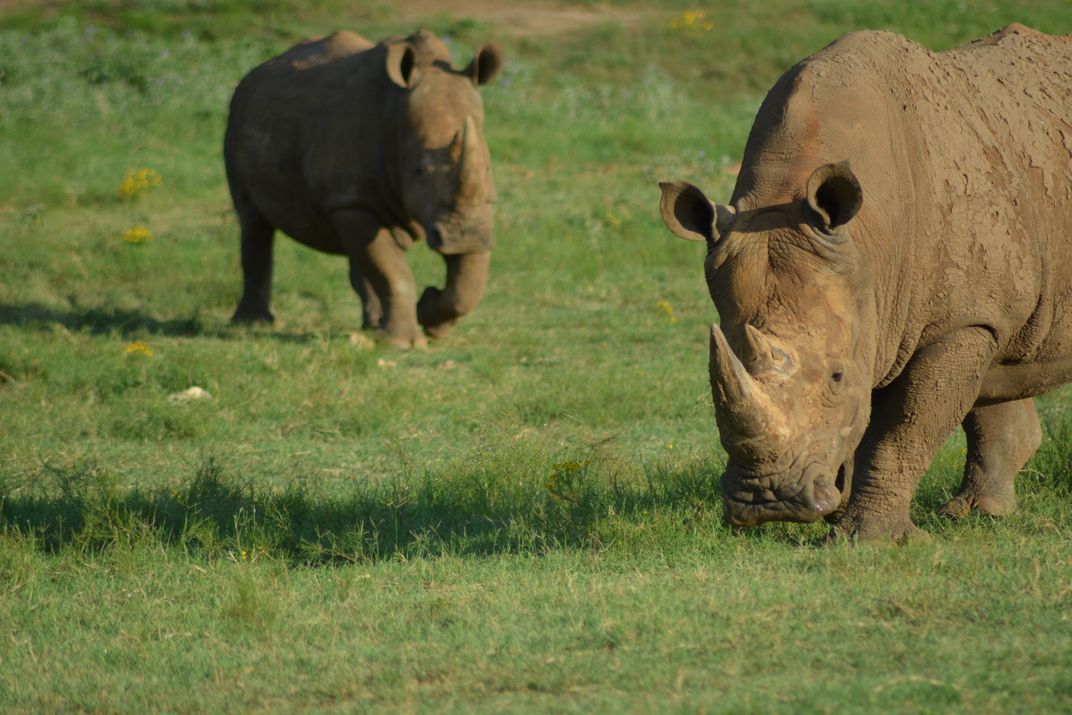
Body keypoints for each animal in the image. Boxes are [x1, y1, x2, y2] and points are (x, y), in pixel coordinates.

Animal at [224, 29, 502, 347]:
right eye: (419, 171)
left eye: (487, 170)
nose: (464, 239)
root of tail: (254, 73)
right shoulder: (350, 202)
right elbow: (394, 273)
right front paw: (403, 343)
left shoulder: (471, 213)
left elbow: (466, 287)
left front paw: (429, 315)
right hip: (237, 119)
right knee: (253, 221)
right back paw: (251, 324)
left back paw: (372, 326)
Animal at [659, 25, 1072, 542]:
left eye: (838, 375)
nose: (767, 501)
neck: (869, 242)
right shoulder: (948, 308)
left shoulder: (961, 321)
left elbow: (903, 431)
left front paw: (867, 538)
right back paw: (980, 511)